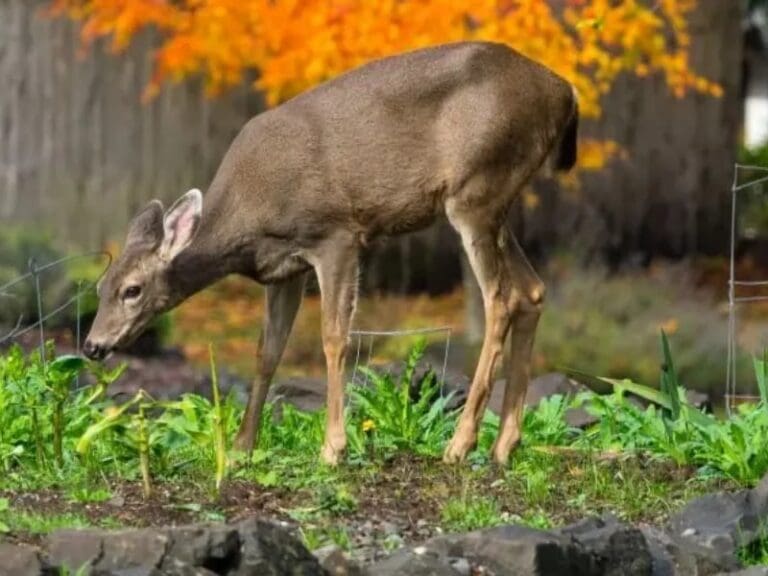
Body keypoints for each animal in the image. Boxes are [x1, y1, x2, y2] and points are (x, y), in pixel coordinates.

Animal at [83, 41, 578, 466]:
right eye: (100, 286)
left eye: (132, 289)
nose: (92, 345)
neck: (248, 216)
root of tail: (563, 91)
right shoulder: (283, 269)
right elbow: (267, 351)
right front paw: (242, 447)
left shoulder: (336, 235)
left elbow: (335, 338)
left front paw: (333, 448)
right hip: (496, 203)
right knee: (532, 291)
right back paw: (504, 445)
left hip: (476, 190)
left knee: (500, 299)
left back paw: (460, 444)